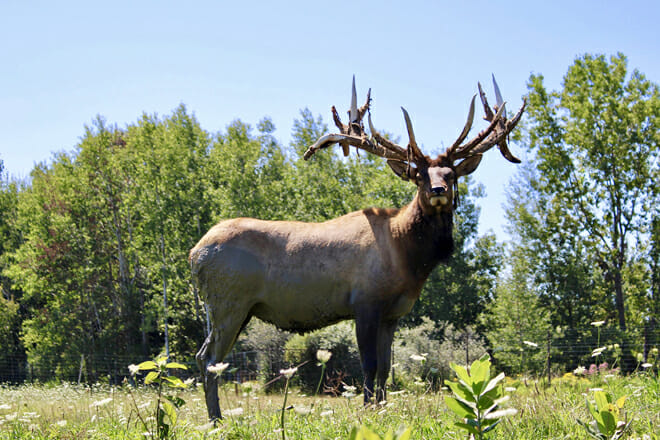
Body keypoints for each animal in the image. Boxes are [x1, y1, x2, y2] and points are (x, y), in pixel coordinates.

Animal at [190, 76, 525, 421]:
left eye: (450, 173)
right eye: (419, 175)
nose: (438, 190)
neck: (407, 257)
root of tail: (195, 254)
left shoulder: (392, 314)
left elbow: (386, 368)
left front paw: (383, 408)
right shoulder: (364, 301)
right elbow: (369, 364)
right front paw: (368, 410)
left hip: (234, 308)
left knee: (207, 357)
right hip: (228, 302)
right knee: (209, 359)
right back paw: (216, 420)